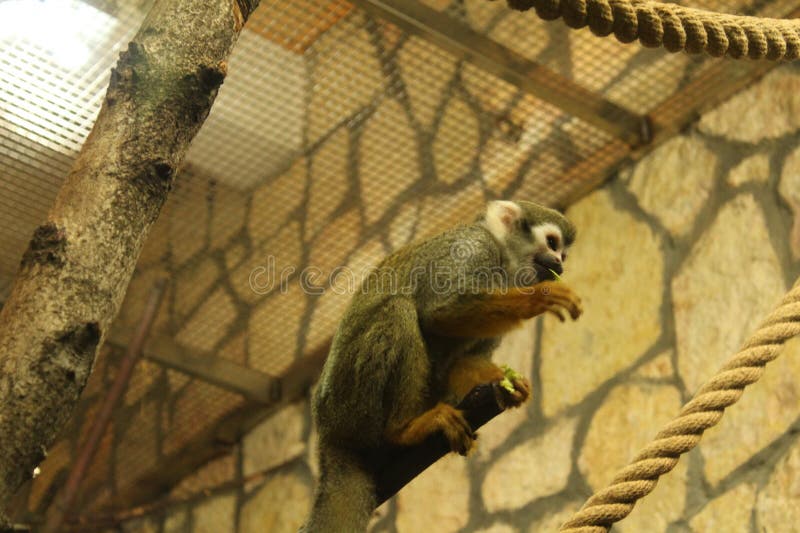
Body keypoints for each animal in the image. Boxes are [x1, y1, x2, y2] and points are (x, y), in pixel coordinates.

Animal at [302, 200, 582, 532]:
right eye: (552, 243)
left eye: (563, 254)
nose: (560, 264)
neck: (503, 258)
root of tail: (329, 437)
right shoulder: (472, 248)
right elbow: (440, 312)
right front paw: (538, 300)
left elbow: (466, 360)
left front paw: (502, 382)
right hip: (351, 405)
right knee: (399, 309)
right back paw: (404, 429)